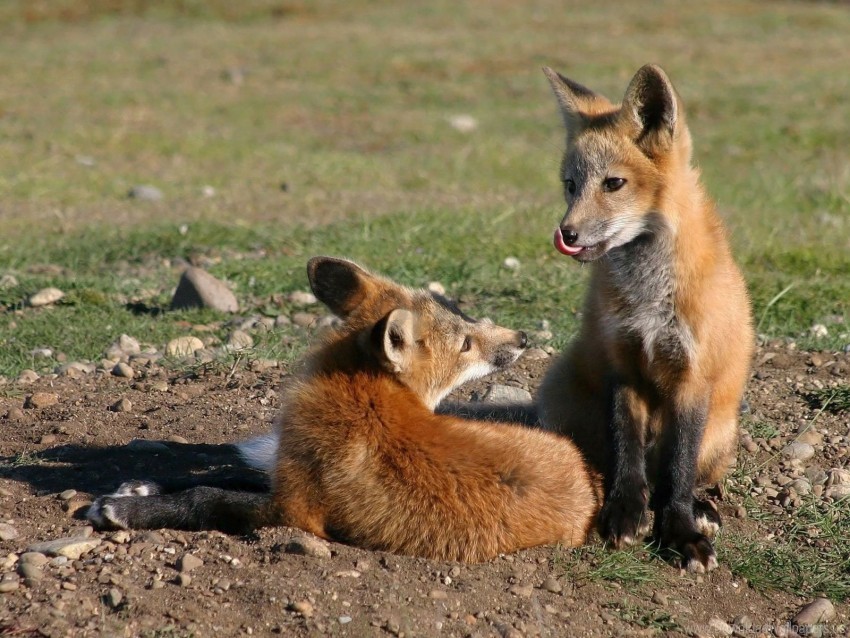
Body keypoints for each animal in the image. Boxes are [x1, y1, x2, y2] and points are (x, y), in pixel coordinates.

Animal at [88, 257, 601, 562]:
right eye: (466, 340)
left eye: (467, 326)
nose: (523, 338)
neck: (365, 399)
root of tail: (589, 480)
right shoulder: (288, 474)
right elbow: (226, 475)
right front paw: (142, 487)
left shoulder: (297, 510)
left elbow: (208, 497)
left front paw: (125, 509)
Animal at [535, 65, 755, 572]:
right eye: (570, 185)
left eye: (613, 184)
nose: (566, 234)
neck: (649, 300)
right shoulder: (623, 362)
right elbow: (627, 447)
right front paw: (624, 512)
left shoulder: (693, 377)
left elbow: (678, 467)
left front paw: (680, 531)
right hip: (560, 396)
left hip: (720, 429)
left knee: (683, 474)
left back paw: (701, 506)